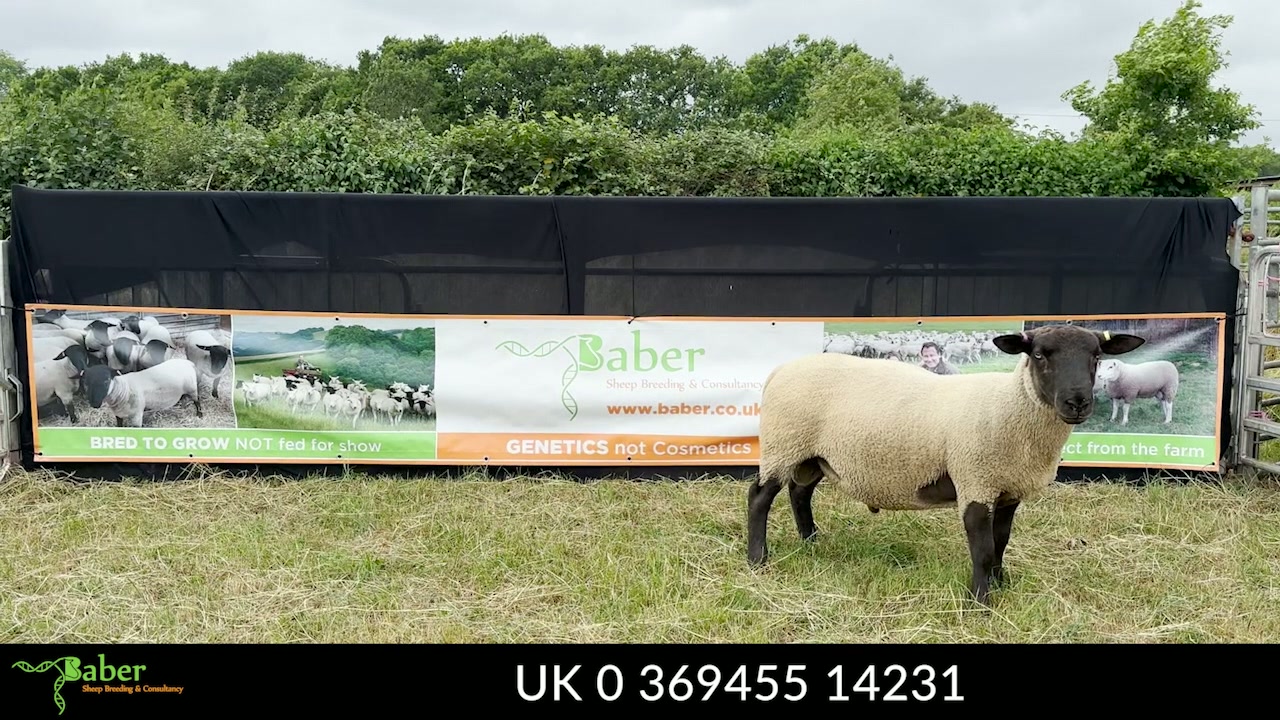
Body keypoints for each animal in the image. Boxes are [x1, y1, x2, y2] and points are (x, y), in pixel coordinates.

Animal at [745, 323, 1145, 606]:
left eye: (1096, 357)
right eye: (1039, 355)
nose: (1077, 402)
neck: (1010, 406)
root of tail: (780, 370)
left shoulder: (1006, 487)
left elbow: (1001, 542)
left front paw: (1001, 583)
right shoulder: (975, 479)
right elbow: (982, 550)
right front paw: (981, 602)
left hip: (812, 454)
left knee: (799, 493)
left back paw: (811, 541)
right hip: (784, 444)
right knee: (760, 497)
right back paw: (758, 560)